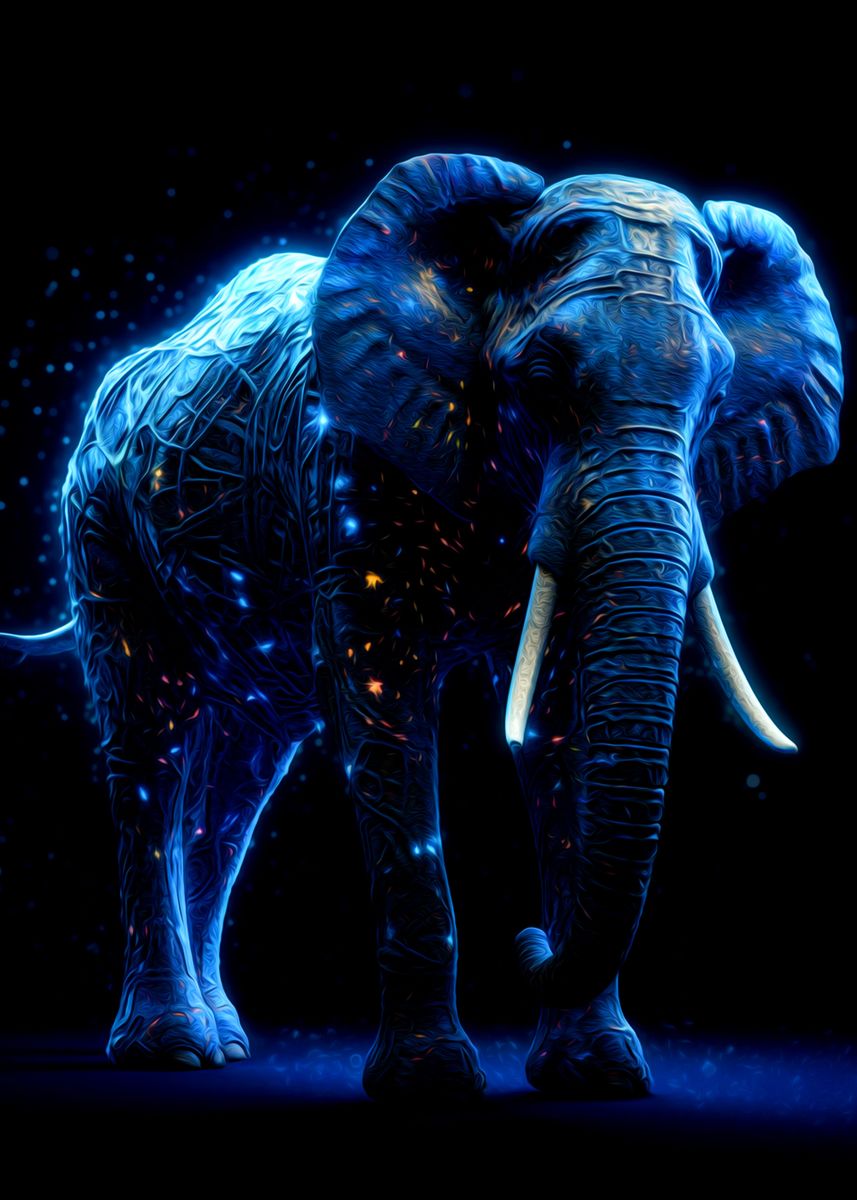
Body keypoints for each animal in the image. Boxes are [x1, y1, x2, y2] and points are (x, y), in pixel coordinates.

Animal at [0, 153, 843, 1100]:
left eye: (716, 395)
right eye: (541, 382)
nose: (527, 942)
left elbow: (562, 730)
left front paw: (593, 1074)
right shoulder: (345, 473)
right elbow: (386, 712)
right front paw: (430, 1079)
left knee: (239, 783)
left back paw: (223, 1038)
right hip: (100, 524)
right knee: (148, 745)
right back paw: (170, 1047)